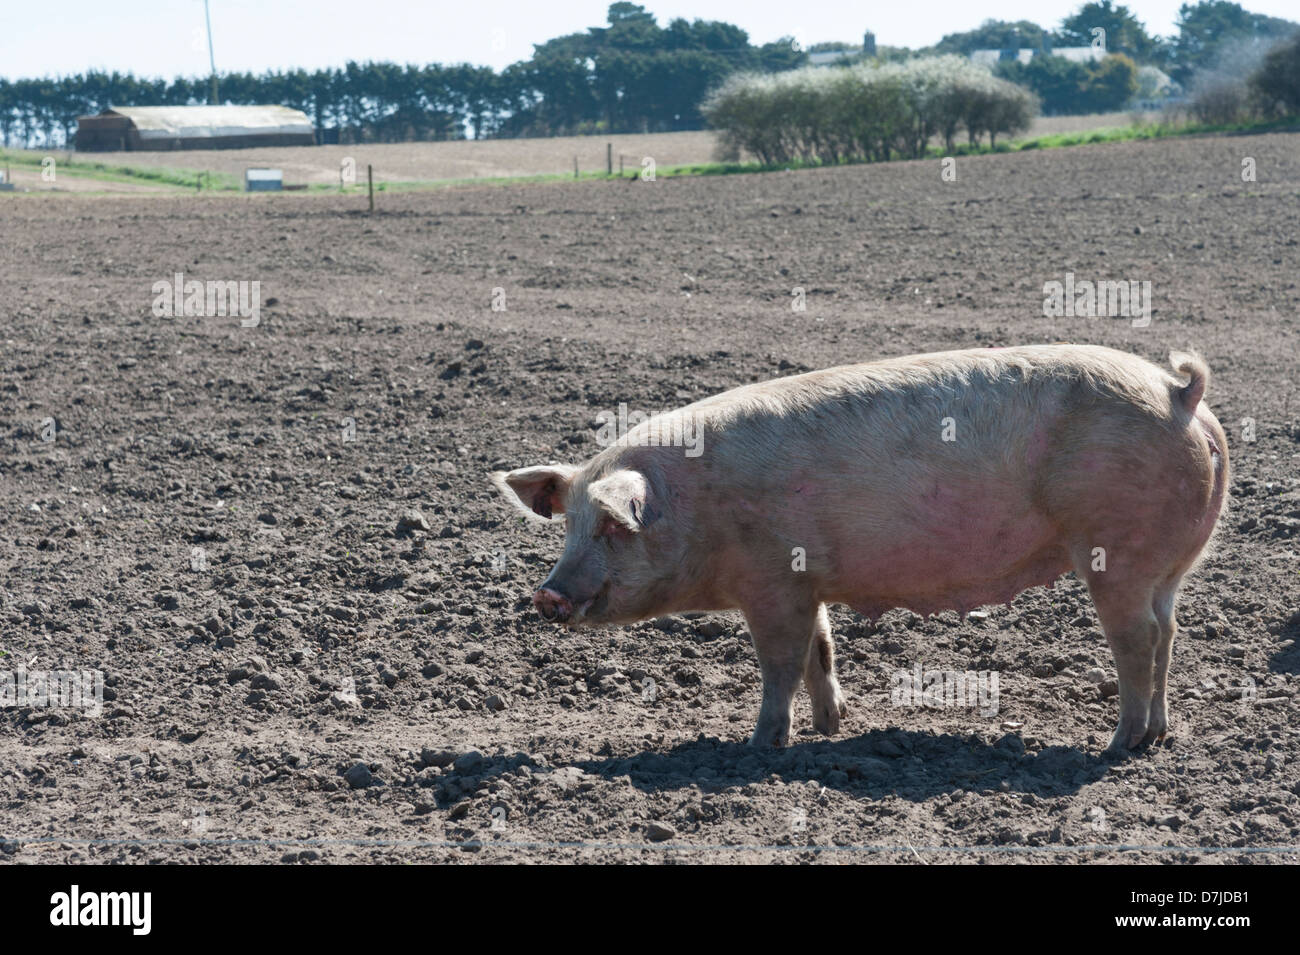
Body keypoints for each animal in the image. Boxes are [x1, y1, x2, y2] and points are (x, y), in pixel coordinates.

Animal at [493, 345, 1228, 754]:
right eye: (569, 524)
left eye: (612, 527)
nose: (545, 593)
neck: (702, 506)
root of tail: (1180, 392)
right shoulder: (807, 581)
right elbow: (820, 650)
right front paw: (830, 728)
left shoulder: (772, 581)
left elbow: (780, 662)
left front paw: (761, 743)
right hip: (1170, 565)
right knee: (1168, 632)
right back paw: (1157, 736)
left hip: (1116, 551)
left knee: (1136, 640)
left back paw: (1114, 746)